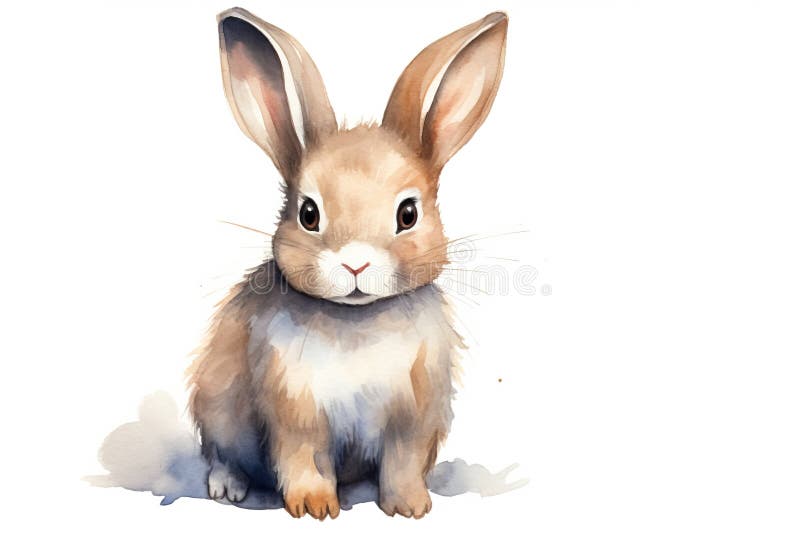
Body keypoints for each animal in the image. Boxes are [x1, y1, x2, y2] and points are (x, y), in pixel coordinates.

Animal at [187, 7, 507, 520]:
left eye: (408, 213)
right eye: (308, 214)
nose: (355, 265)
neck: (359, 321)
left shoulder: (414, 414)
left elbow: (403, 461)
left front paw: (410, 507)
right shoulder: (295, 410)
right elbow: (305, 458)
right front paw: (315, 507)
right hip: (217, 406)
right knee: (222, 454)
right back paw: (227, 487)